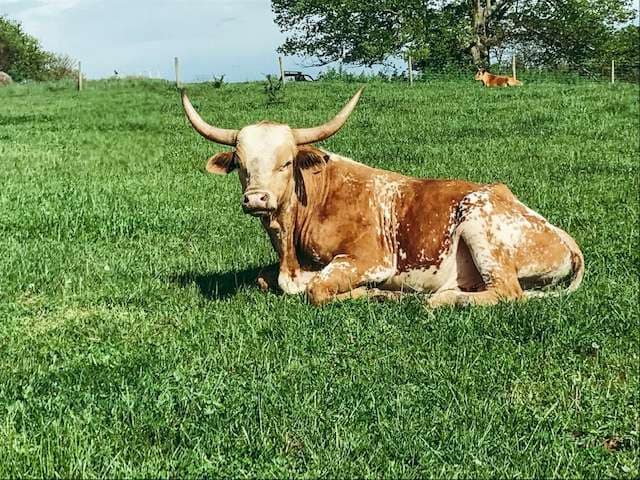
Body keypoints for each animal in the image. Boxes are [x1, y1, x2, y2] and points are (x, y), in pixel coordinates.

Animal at [181, 88, 583, 307]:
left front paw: (375, 294)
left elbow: (317, 289)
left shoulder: (371, 260)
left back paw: (438, 298)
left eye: (286, 162)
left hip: (478, 223)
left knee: (506, 292)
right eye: (241, 164)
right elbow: (266, 280)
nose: (257, 199)